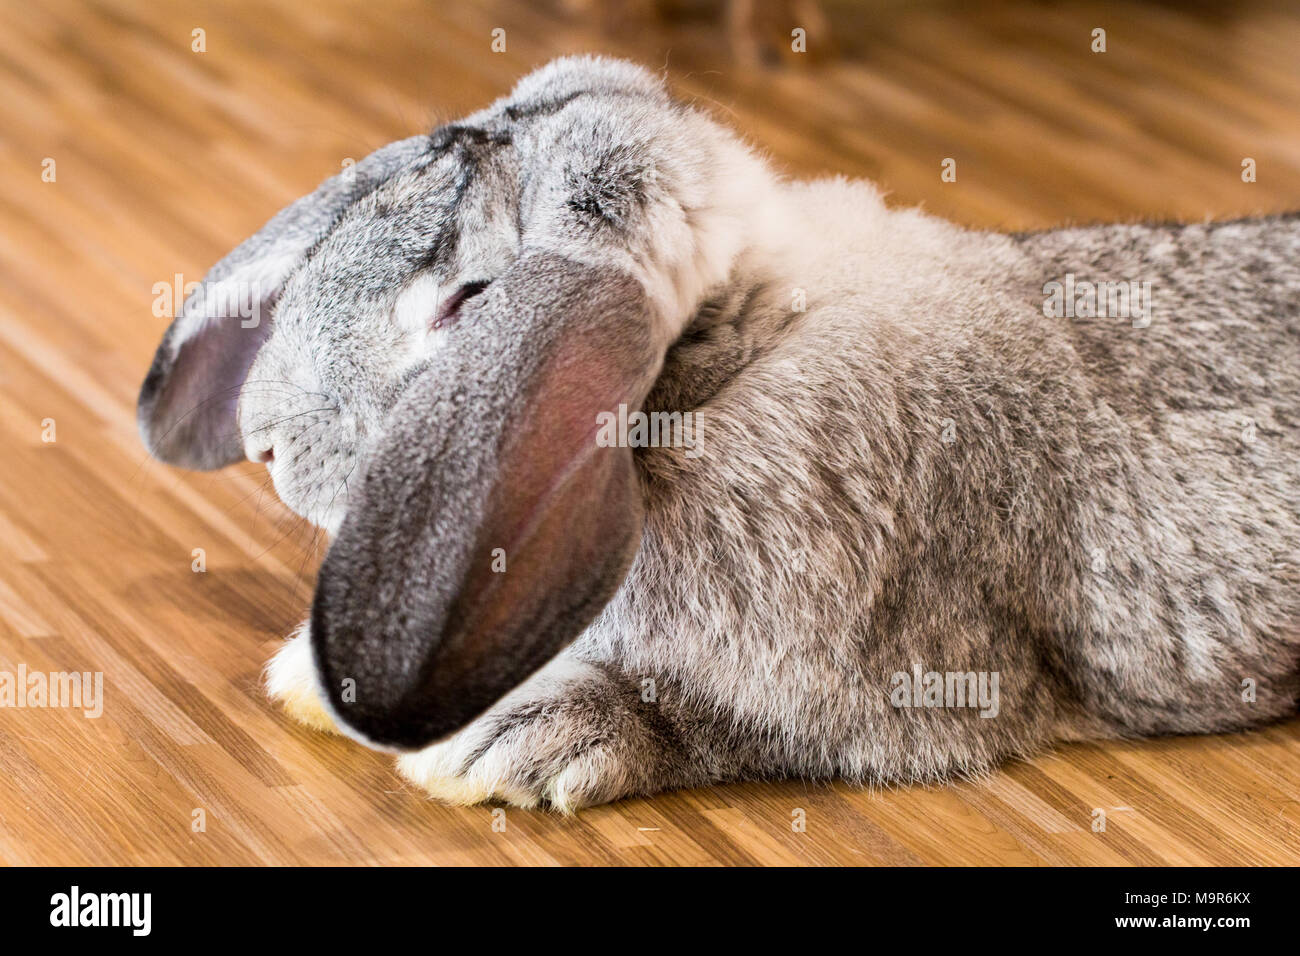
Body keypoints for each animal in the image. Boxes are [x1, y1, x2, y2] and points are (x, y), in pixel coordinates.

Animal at [139, 55, 1300, 811]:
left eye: (469, 304)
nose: (266, 441)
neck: (721, 372)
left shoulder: (898, 681)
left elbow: (719, 719)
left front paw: (509, 745)